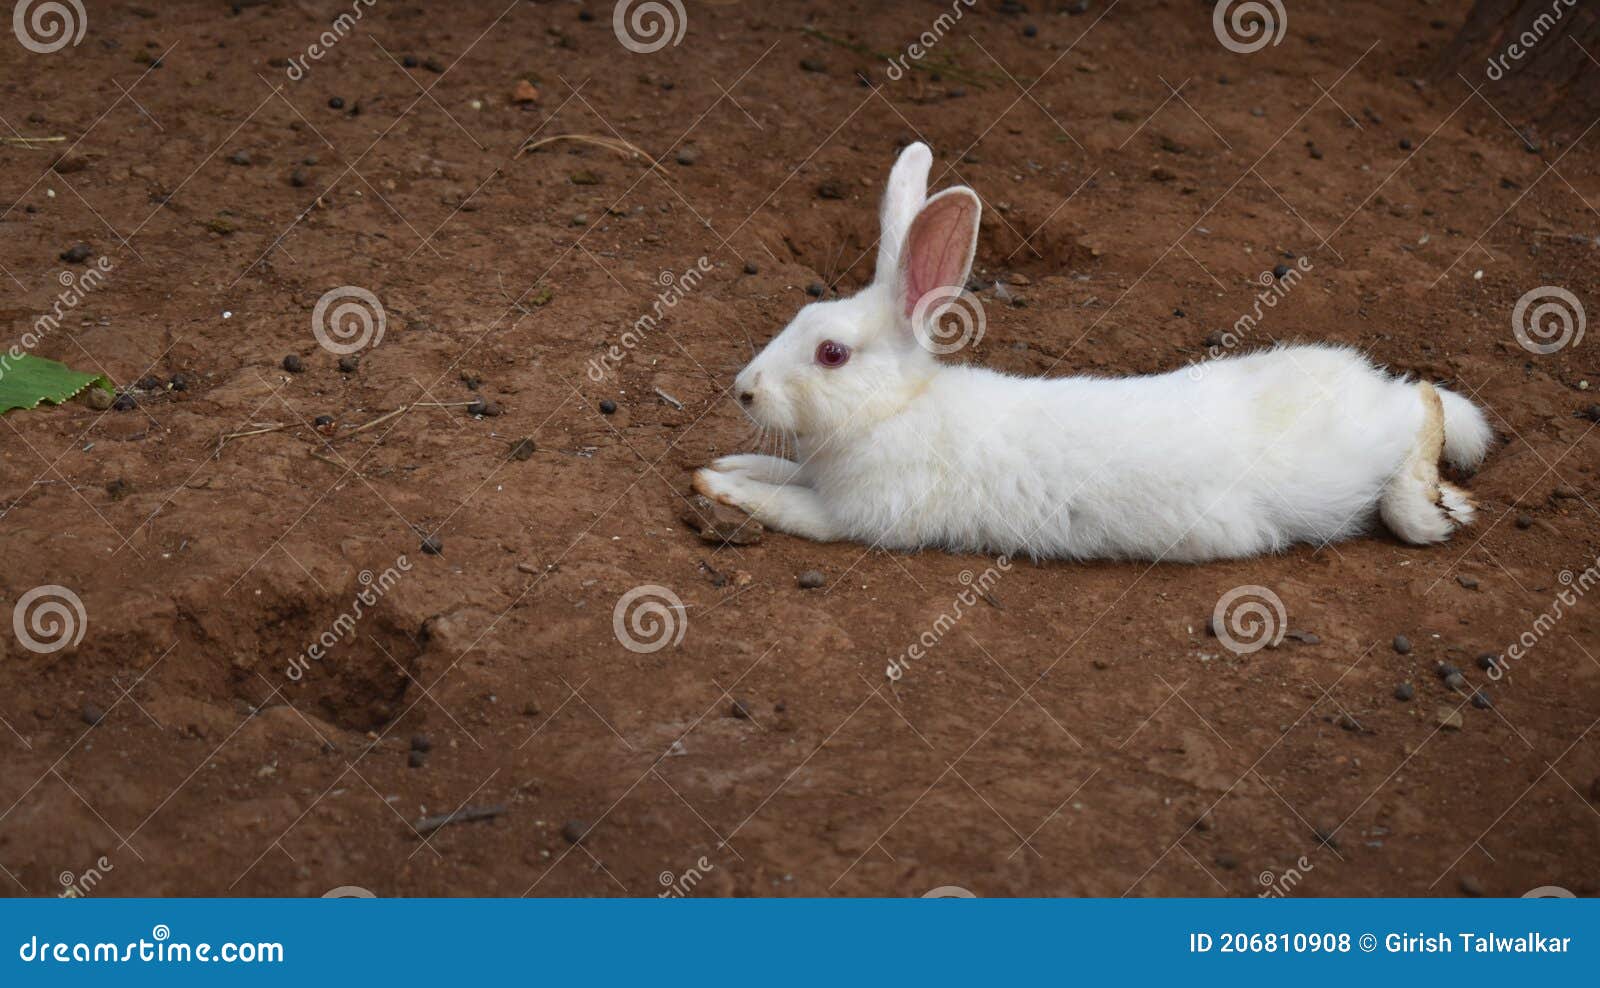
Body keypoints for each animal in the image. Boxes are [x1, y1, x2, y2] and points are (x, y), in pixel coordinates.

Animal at [692, 142, 1493, 562]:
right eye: (800, 317)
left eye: (831, 353)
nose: (744, 390)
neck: (893, 410)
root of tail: (1372, 385)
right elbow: (777, 469)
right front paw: (727, 463)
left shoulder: (857, 516)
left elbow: (786, 506)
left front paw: (716, 487)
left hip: (1353, 461)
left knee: (1422, 411)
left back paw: (1428, 509)